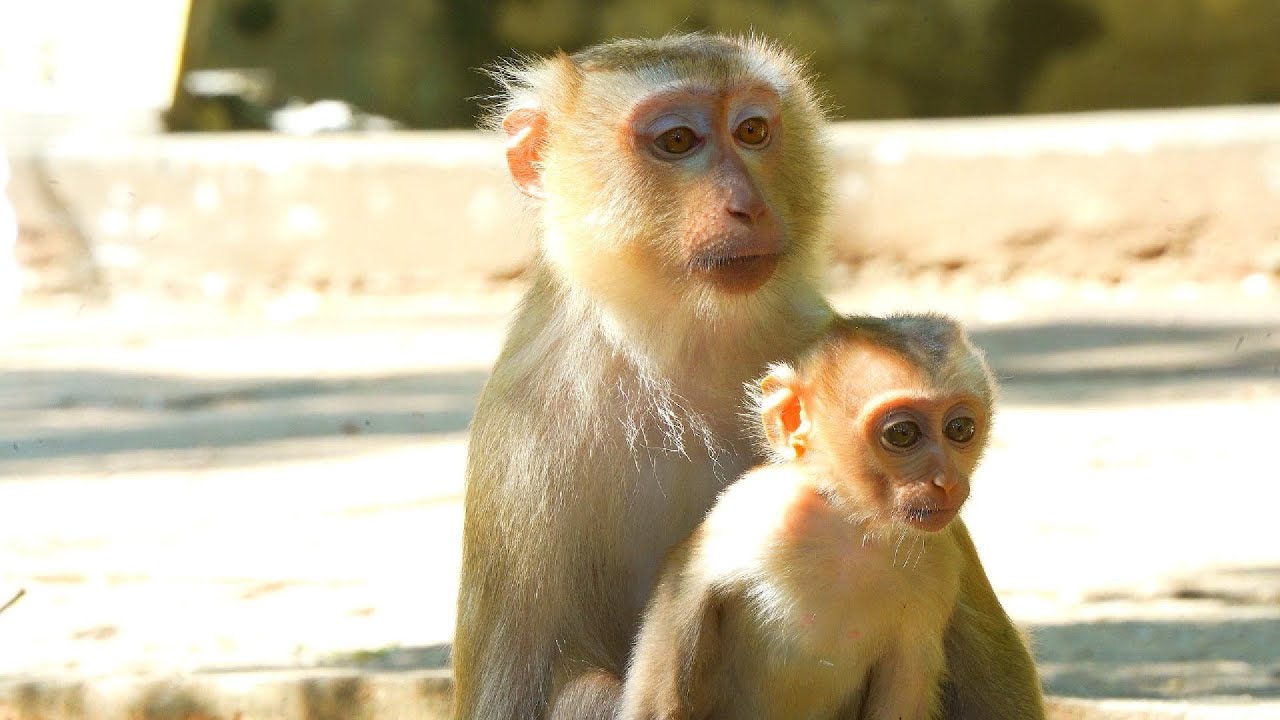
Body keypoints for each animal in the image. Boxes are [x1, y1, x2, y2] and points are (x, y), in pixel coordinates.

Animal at [620, 313, 1042, 719]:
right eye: (902, 434)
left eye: (960, 428)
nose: (947, 481)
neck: (850, 528)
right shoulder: (754, 511)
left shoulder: (937, 565)